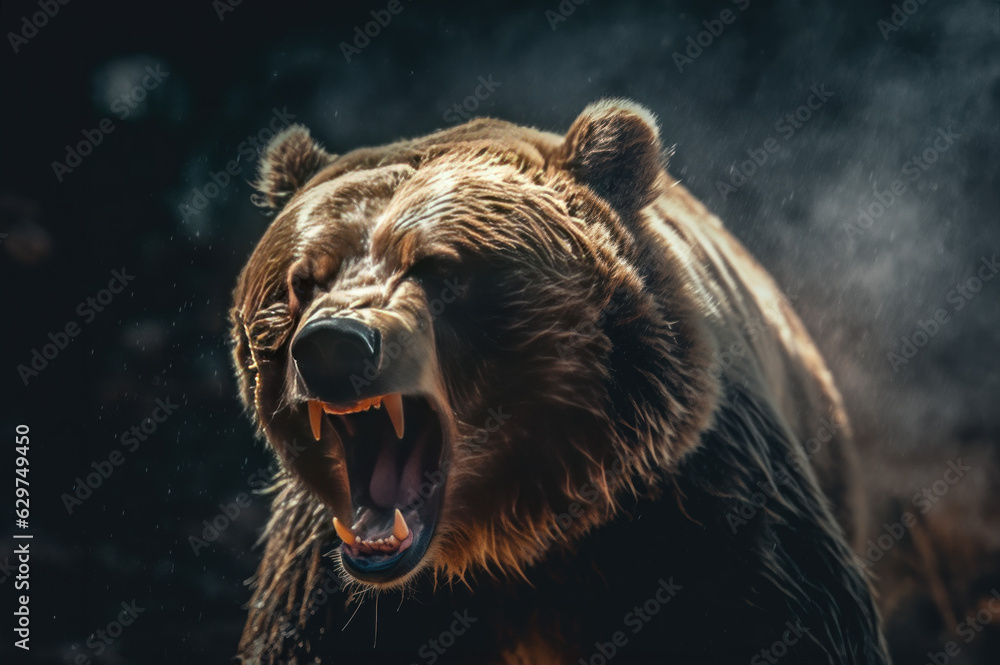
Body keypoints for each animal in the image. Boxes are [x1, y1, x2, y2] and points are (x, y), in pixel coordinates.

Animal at [229, 100, 890, 664]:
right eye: (304, 279)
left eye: (438, 270)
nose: (333, 344)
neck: (518, 533)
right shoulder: (327, 578)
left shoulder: (708, 504)